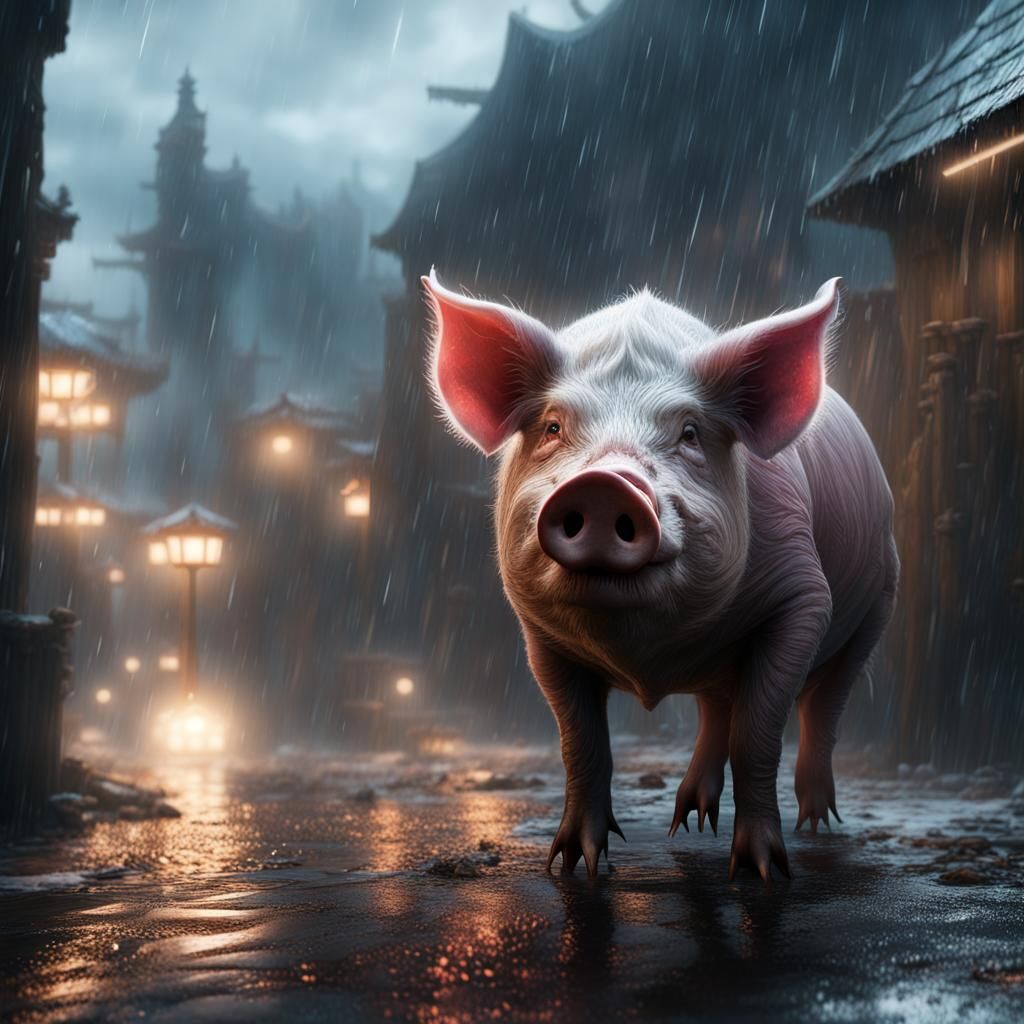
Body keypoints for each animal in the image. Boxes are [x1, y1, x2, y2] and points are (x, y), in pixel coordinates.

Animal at [422, 269, 898, 884]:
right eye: (552, 427)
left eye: (690, 433)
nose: (604, 484)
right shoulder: (539, 633)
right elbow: (580, 741)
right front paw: (573, 865)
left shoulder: (803, 595)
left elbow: (758, 734)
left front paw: (760, 872)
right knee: (717, 707)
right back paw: (688, 823)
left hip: (880, 597)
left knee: (823, 707)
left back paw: (816, 826)